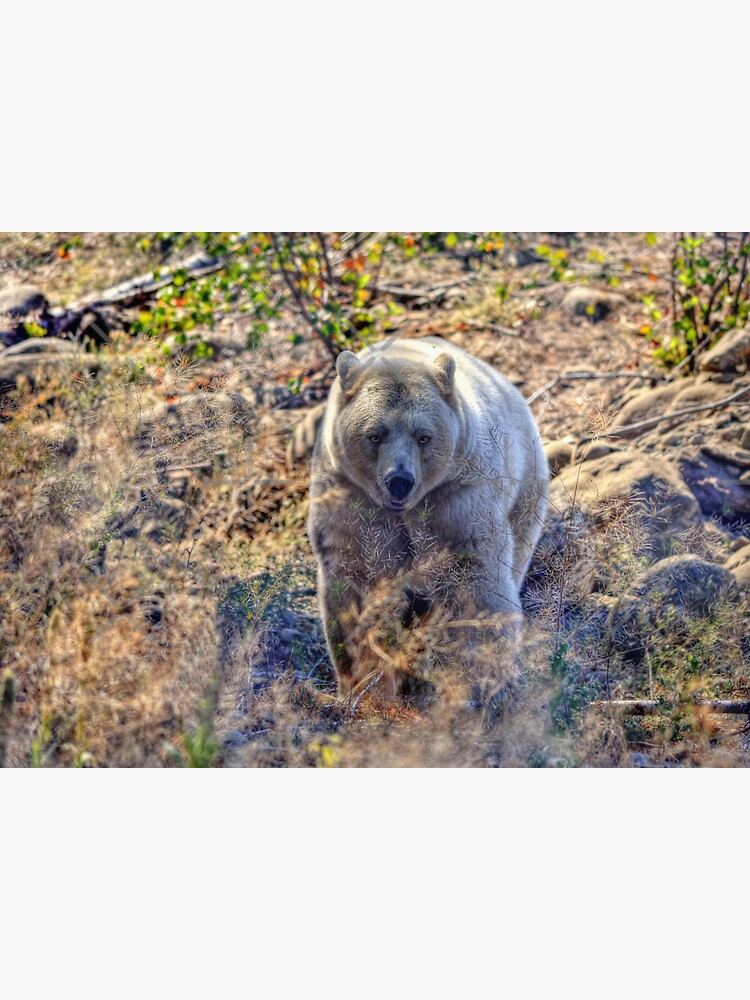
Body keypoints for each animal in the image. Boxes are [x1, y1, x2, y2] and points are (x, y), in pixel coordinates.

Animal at [308, 335, 549, 703]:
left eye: (423, 436)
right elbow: (356, 581)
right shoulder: (351, 502)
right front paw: (362, 680)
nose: (399, 480)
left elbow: (473, 580)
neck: (404, 510)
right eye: (374, 435)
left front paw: (485, 673)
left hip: (525, 487)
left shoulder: (456, 499)